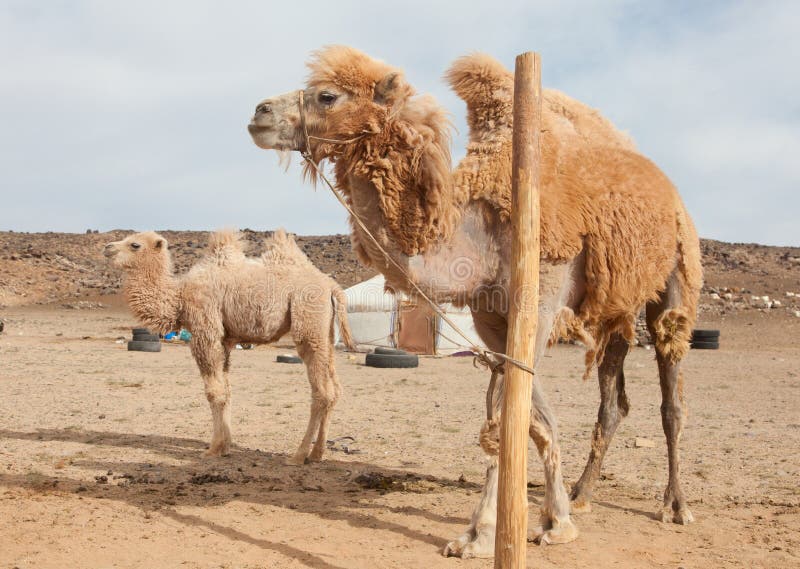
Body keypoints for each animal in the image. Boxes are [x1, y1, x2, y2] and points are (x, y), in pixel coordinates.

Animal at [104, 229, 356, 465]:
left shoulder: (205, 327)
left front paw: (213, 449)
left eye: (135, 244)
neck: (179, 298)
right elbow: (226, 390)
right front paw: (225, 446)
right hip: (325, 331)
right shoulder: (224, 340)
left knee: (321, 391)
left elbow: (213, 392)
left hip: (308, 319)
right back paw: (317, 453)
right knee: (335, 390)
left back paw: (298, 455)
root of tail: (331, 286)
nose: (107, 248)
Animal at [247, 46, 702, 558]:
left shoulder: (540, 299)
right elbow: (531, 414)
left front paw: (481, 534)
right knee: (612, 400)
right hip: (615, 308)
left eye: (327, 95)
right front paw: (556, 518)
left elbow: (508, 414)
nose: (259, 113)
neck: (476, 229)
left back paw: (676, 505)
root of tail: (667, 188)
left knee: (671, 392)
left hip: (676, 272)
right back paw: (584, 495)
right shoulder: (488, 315)